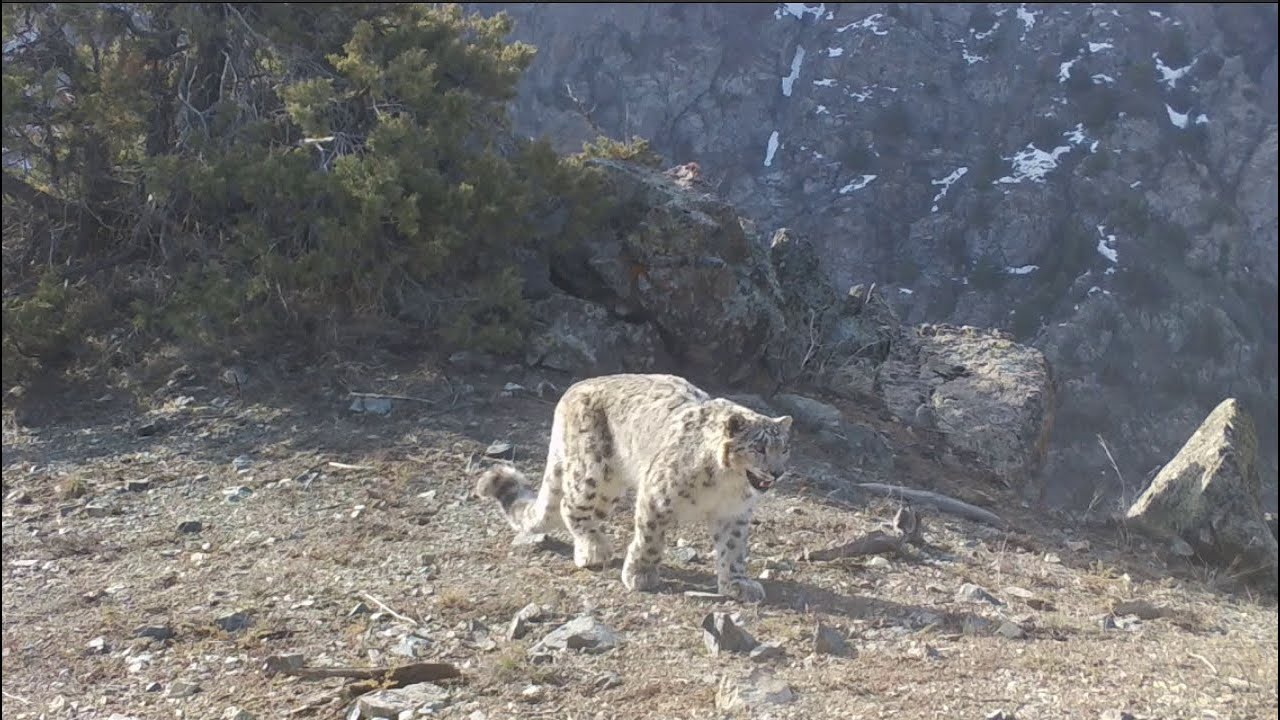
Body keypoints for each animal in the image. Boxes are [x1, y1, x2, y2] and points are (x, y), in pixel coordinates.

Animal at [475, 373, 793, 602]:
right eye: (758, 448)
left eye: (784, 449)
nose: (777, 472)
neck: (727, 485)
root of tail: (570, 392)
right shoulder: (657, 495)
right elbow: (650, 539)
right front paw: (641, 575)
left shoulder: (734, 513)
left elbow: (733, 549)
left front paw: (736, 584)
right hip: (593, 473)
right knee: (569, 505)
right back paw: (593, 550)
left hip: (607, 490)